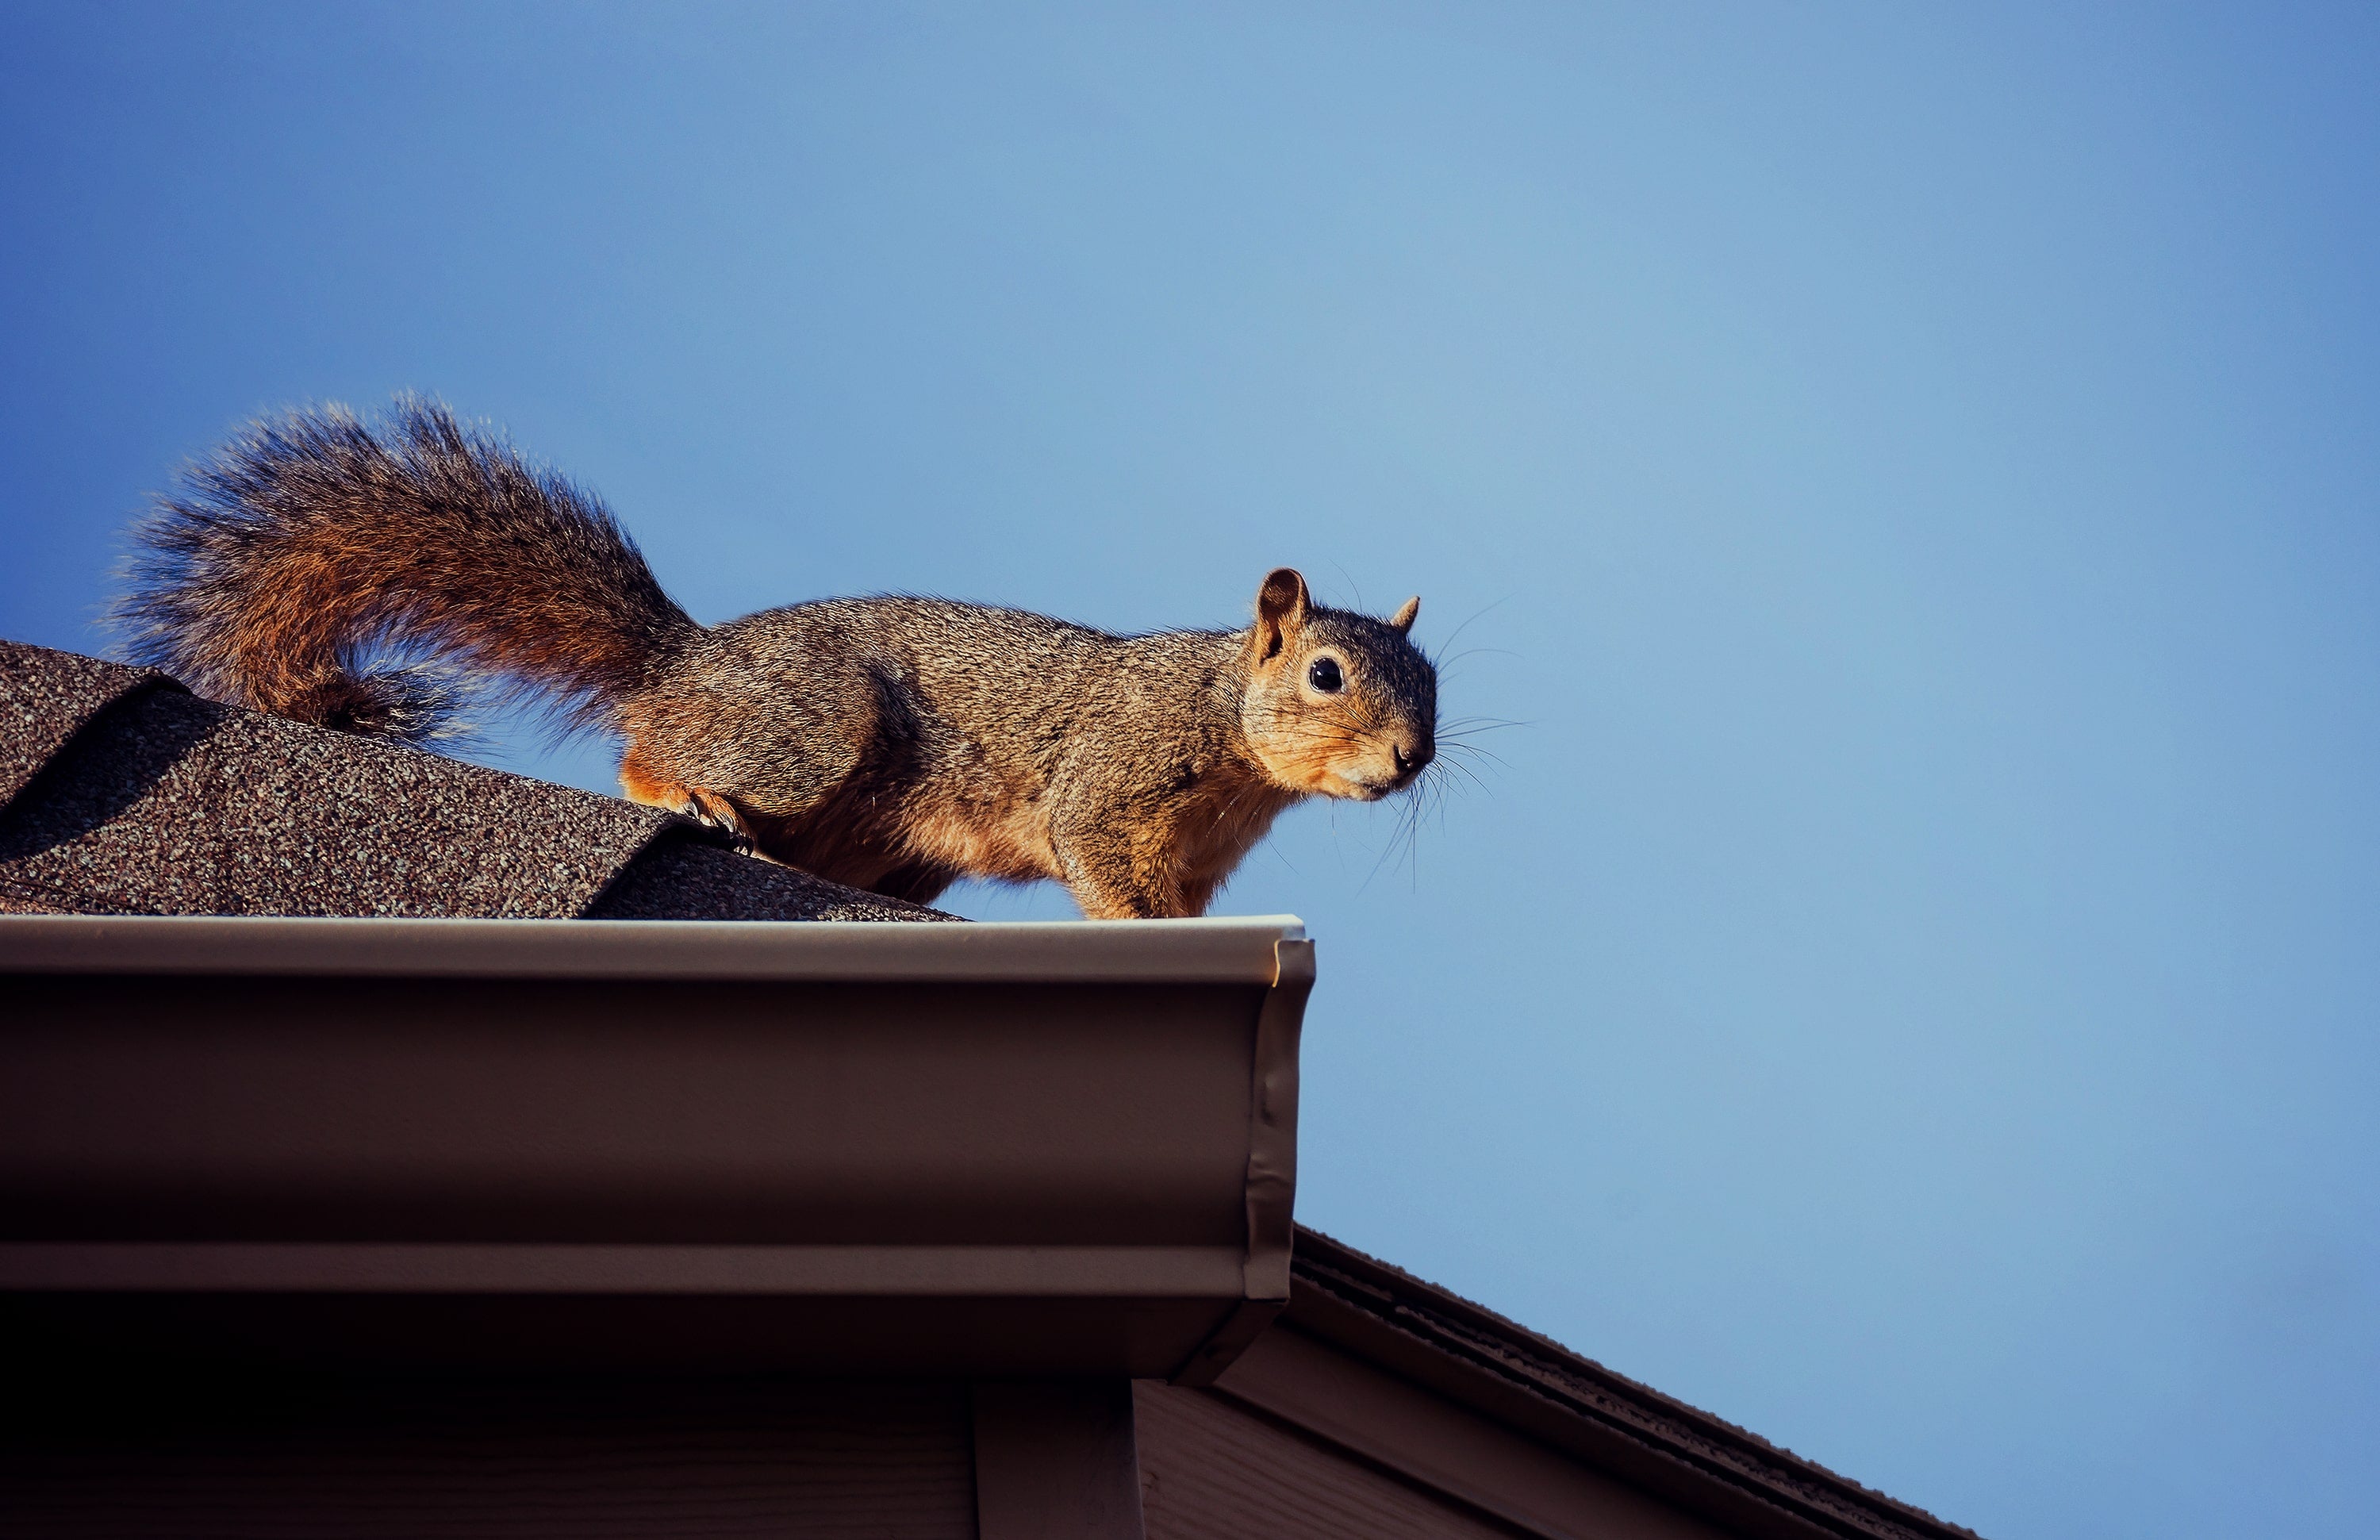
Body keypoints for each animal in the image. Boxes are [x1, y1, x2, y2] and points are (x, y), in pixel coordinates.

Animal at [114, 397, 1439, 918]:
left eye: (1433, 685)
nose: (1410, 758)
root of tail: (687, 659)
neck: (1231, 733)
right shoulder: (1115, 772)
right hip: (811, 733)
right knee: (647, 752)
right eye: (1326, 674)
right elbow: (1096, 856)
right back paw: (689, 793)